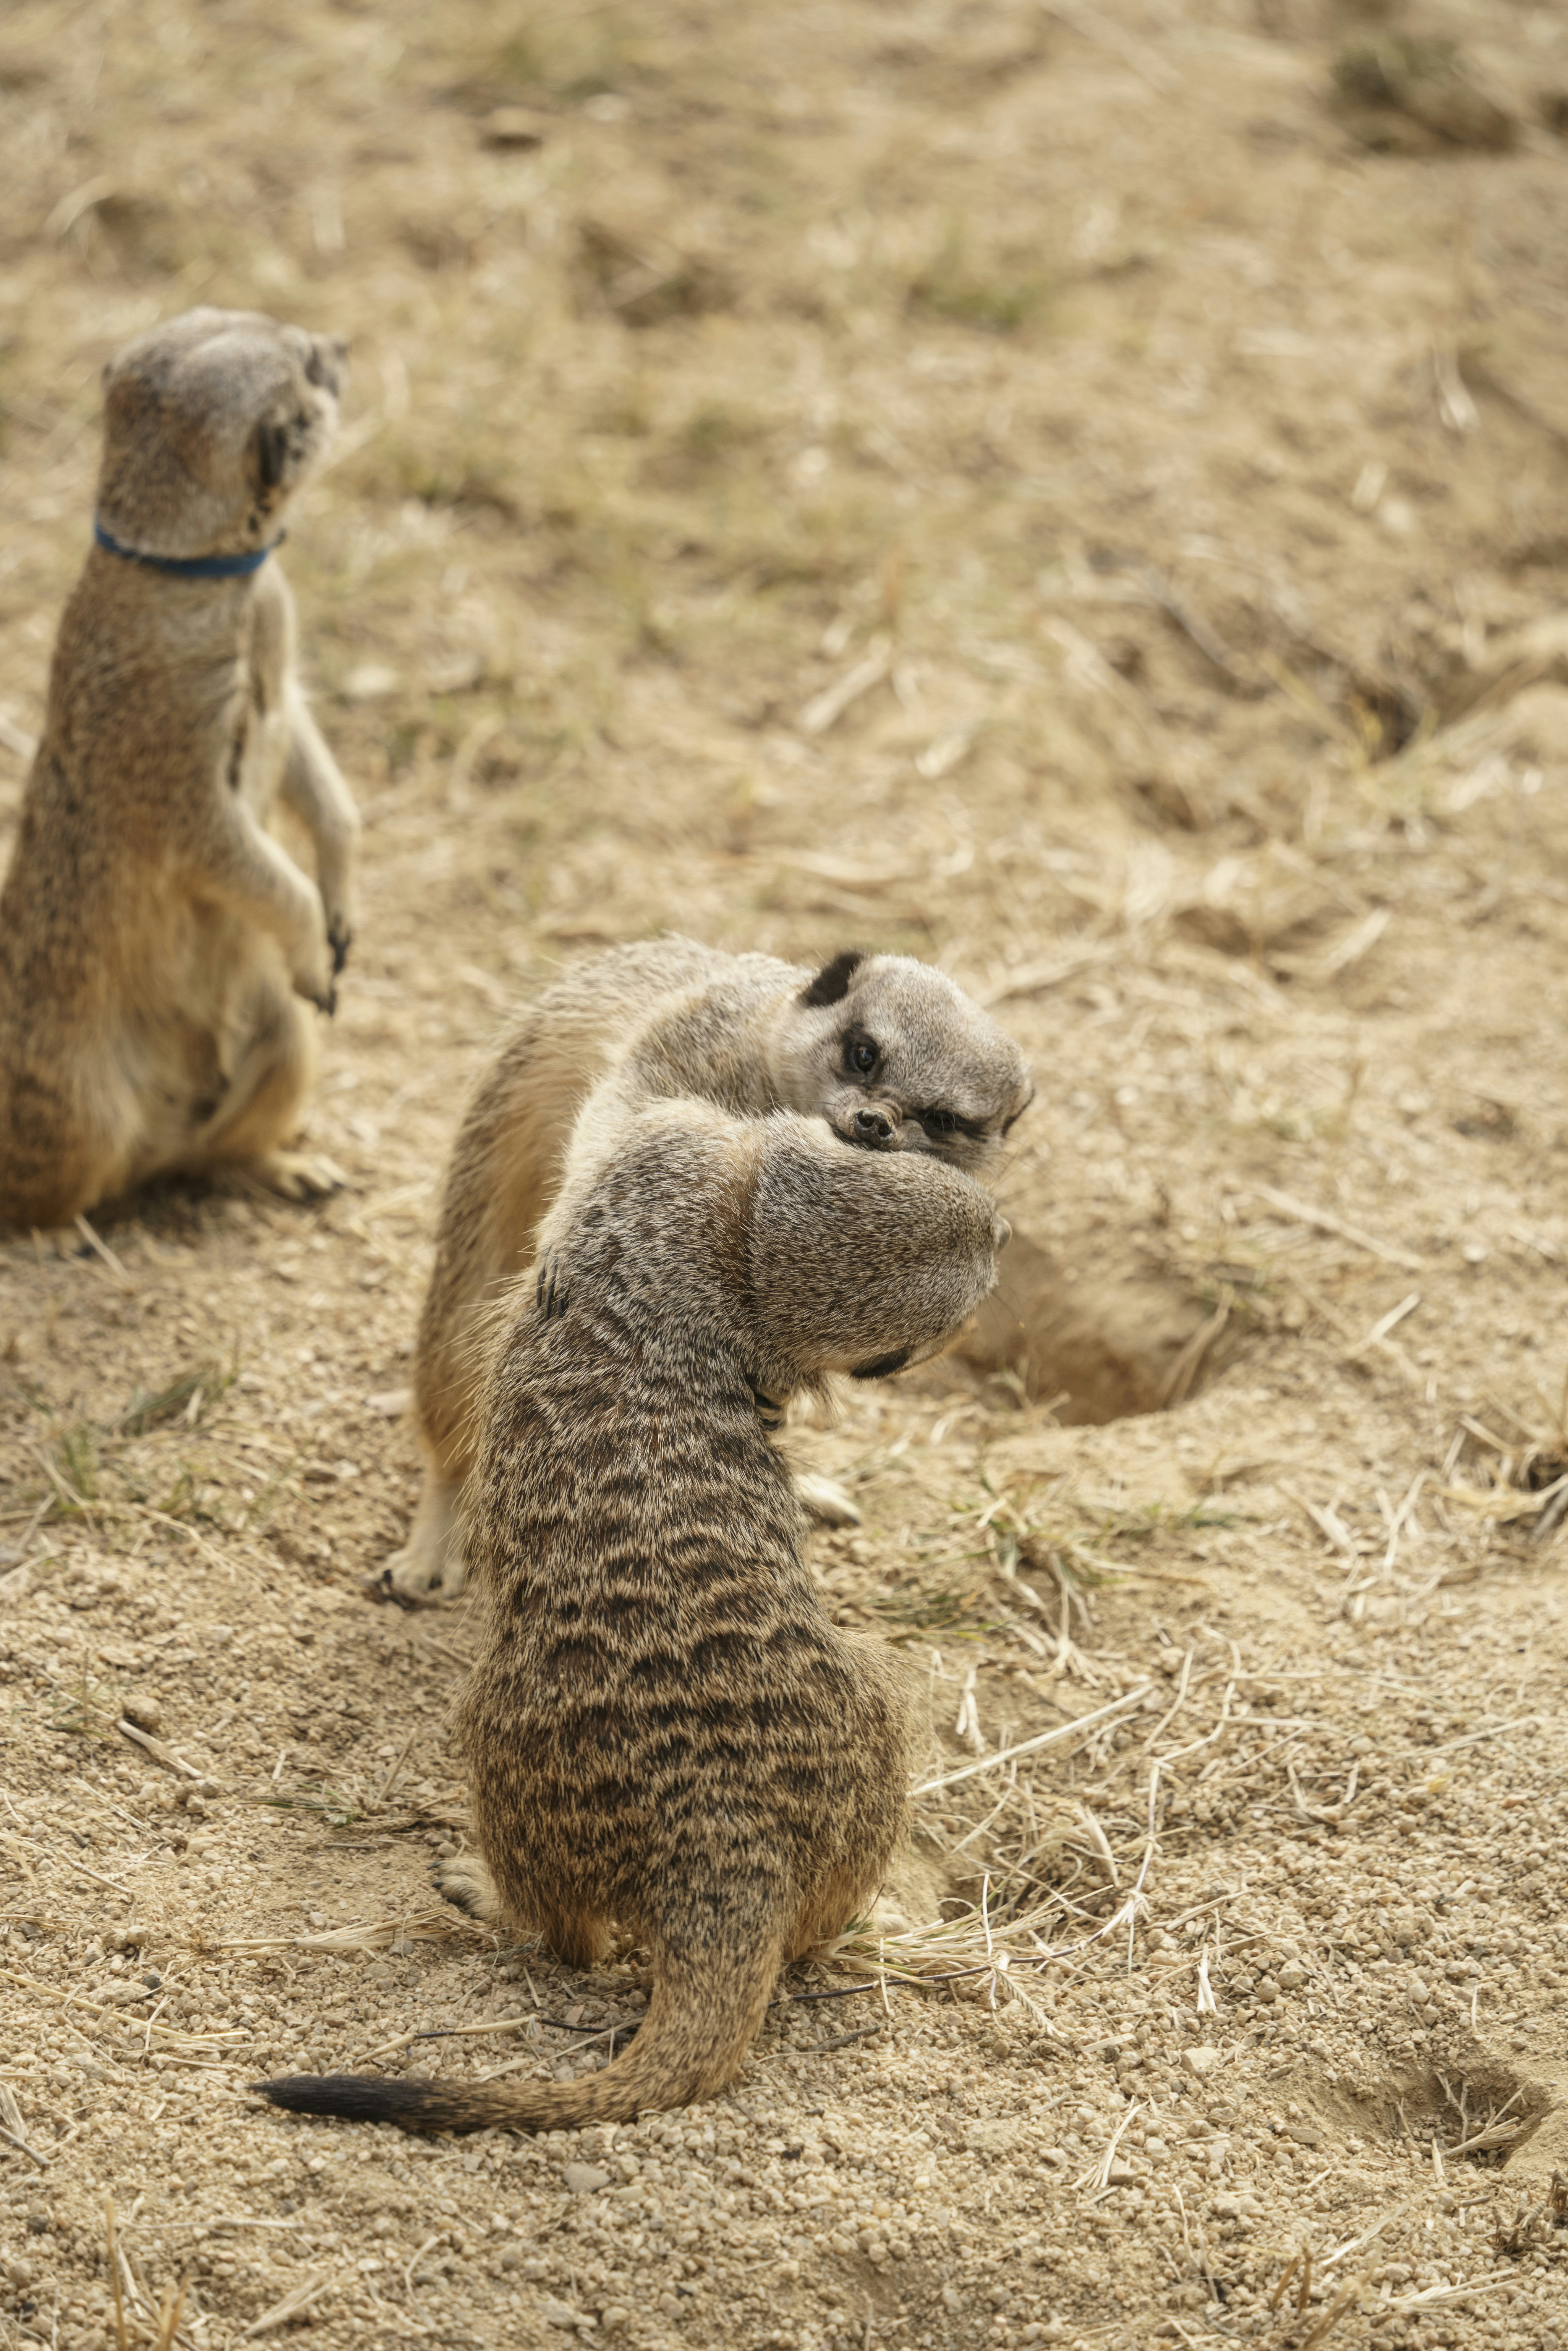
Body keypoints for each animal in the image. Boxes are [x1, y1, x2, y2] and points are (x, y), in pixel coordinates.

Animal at [0, 306, 360, 1232]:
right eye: (308, 366)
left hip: (269, 1022)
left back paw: (275, 1163)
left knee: (254, 1091)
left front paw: (340, 900)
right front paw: (313, 929)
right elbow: (212, 839)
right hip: (72, 1083)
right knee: (73, 1159)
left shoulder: (281, 655)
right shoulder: (166, 733)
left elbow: (309, 754)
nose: (344, 344)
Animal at [257, 1095, 1007, 2133]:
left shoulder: (668, 1157)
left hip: (511, 1745)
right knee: (817, 1920)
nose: (1006, 1231)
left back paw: (485, 1890)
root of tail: (725, 1846)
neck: (734, 1250)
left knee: (572, 1935)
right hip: (870, 1727)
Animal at [380, 936, 1031, 1601]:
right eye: (864, 1054)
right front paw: (565, 1227)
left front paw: (779, 1401)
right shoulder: (702, 1034)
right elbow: (630, 1102)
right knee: (455, 1361)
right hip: (482, 1193)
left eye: (943, 1118)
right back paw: (436, 1532)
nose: (874, 1122)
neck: (772, 1087)